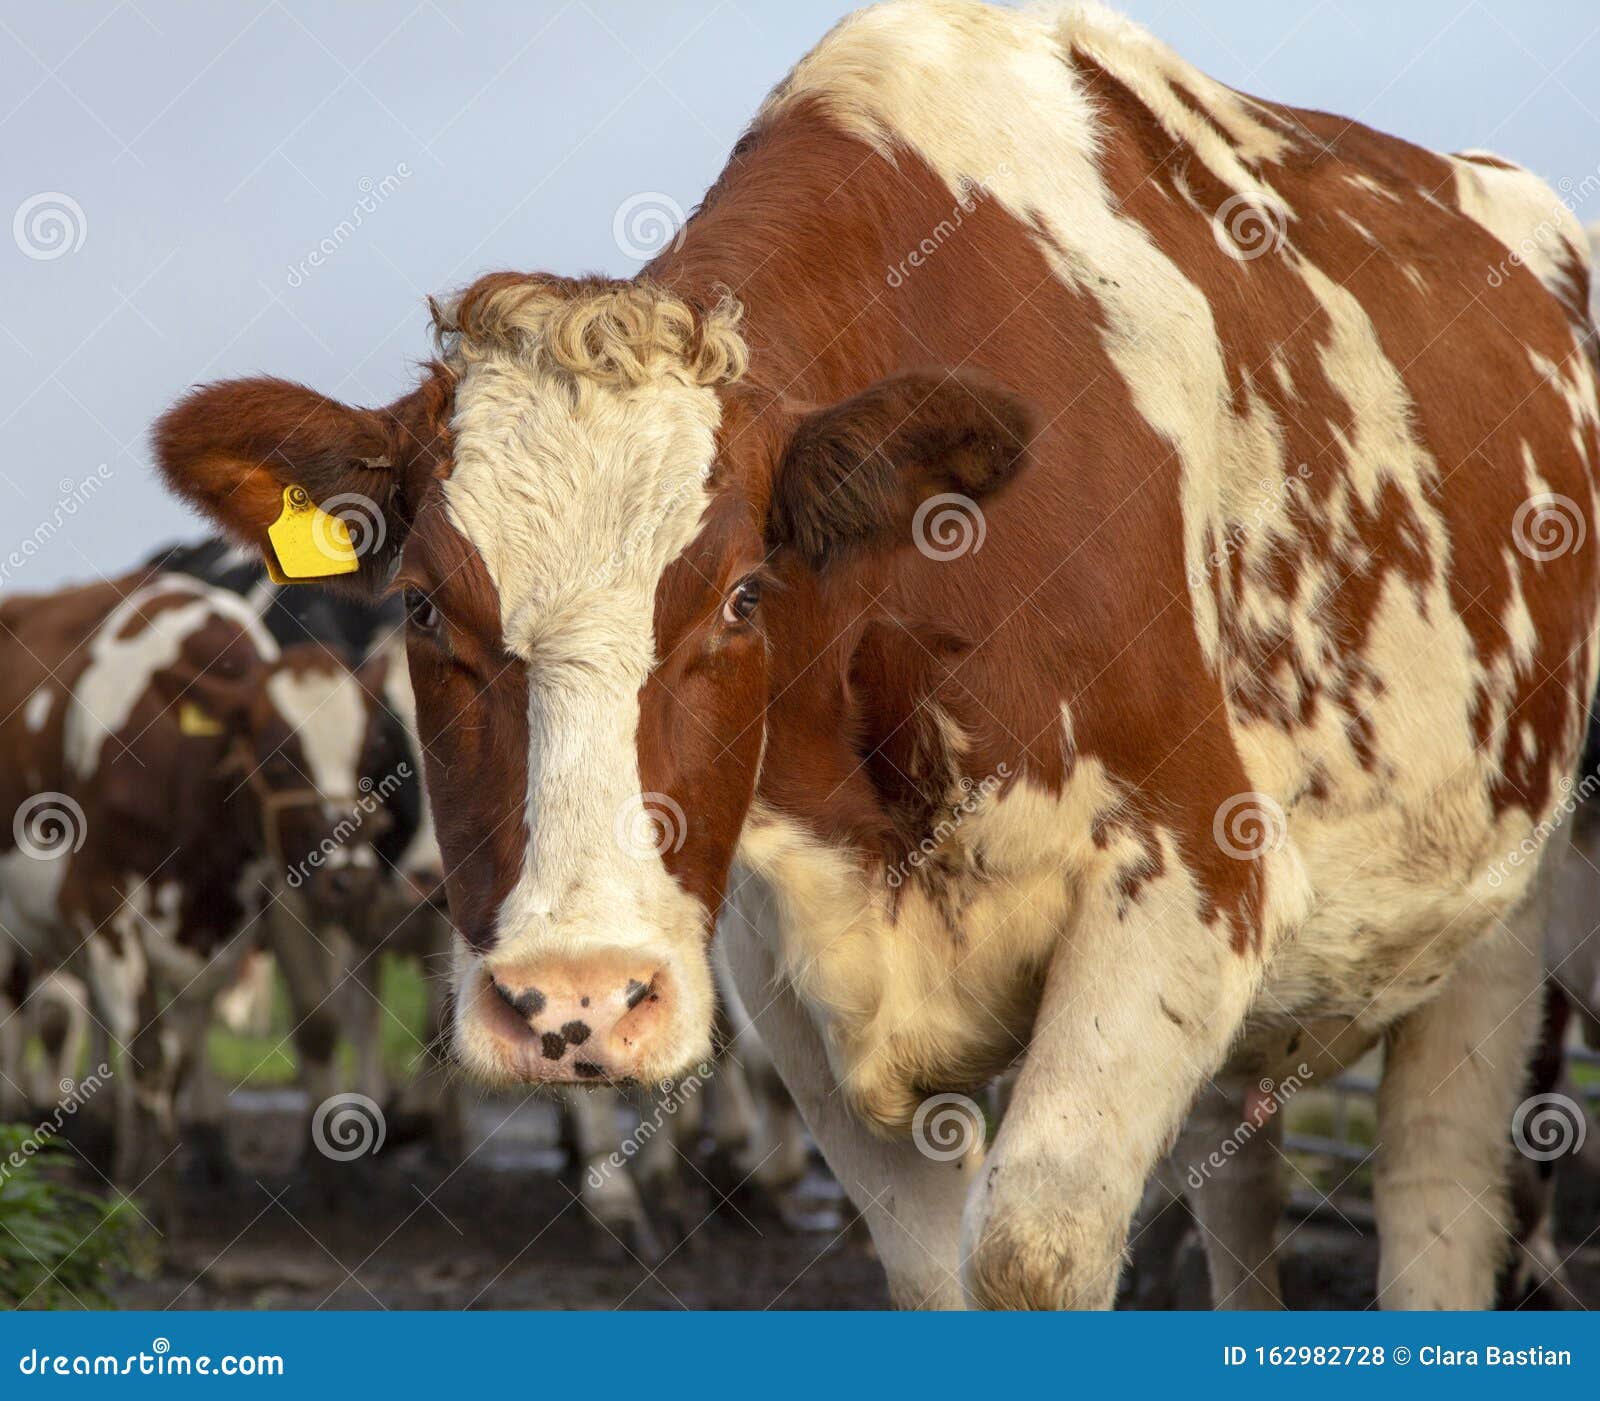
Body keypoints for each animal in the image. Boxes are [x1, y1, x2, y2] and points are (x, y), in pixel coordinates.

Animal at [0, 569, 383, 1214]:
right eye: (278, 762)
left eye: (367, 760)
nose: (349, 876)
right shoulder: (100, 905)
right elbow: (150, 1059)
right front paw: (145, 1215)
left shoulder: (225, 929)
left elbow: (174, 1064)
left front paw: (155, 1201)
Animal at [149, 0, 1600, 1307]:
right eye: (422, 606)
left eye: (743, 596)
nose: (576, 1001)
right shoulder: (774, 964)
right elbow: (930, 1269)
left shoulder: (1193, 874)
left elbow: (1029, 1255)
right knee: (1238, 1180)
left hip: (1500, 907)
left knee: (1436, 1191)